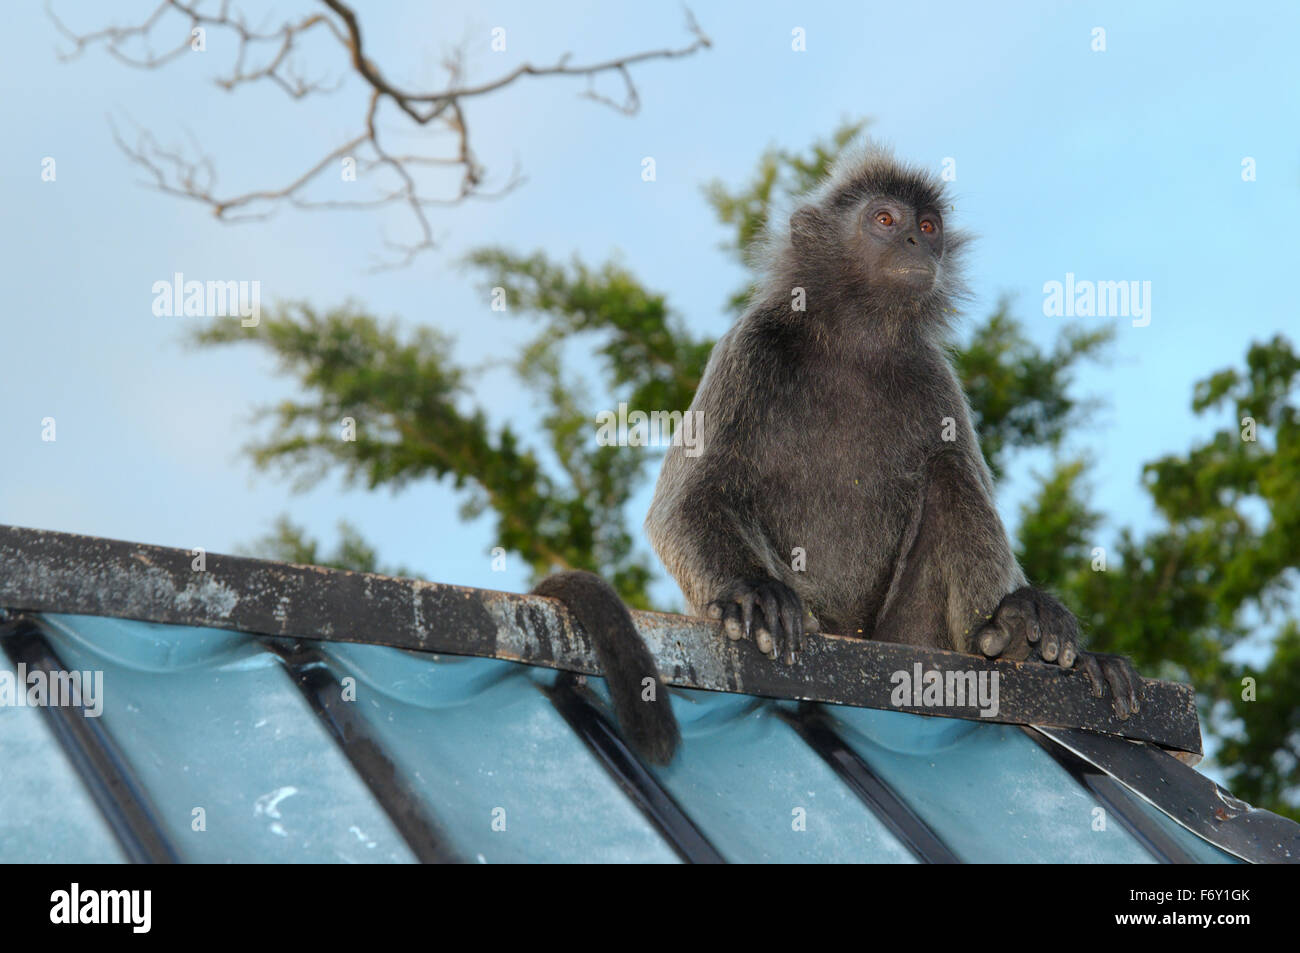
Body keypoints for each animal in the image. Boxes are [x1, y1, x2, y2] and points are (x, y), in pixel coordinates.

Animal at [645, 144, 1142, 718]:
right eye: (884, 219)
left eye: (928, 226)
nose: (915, 244)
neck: (855, 341)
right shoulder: (749, 347)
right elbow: (684, 503)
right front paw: (754, 592)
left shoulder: (934, 375)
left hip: (911, 633)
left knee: (949, 469)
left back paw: (1016, 629)